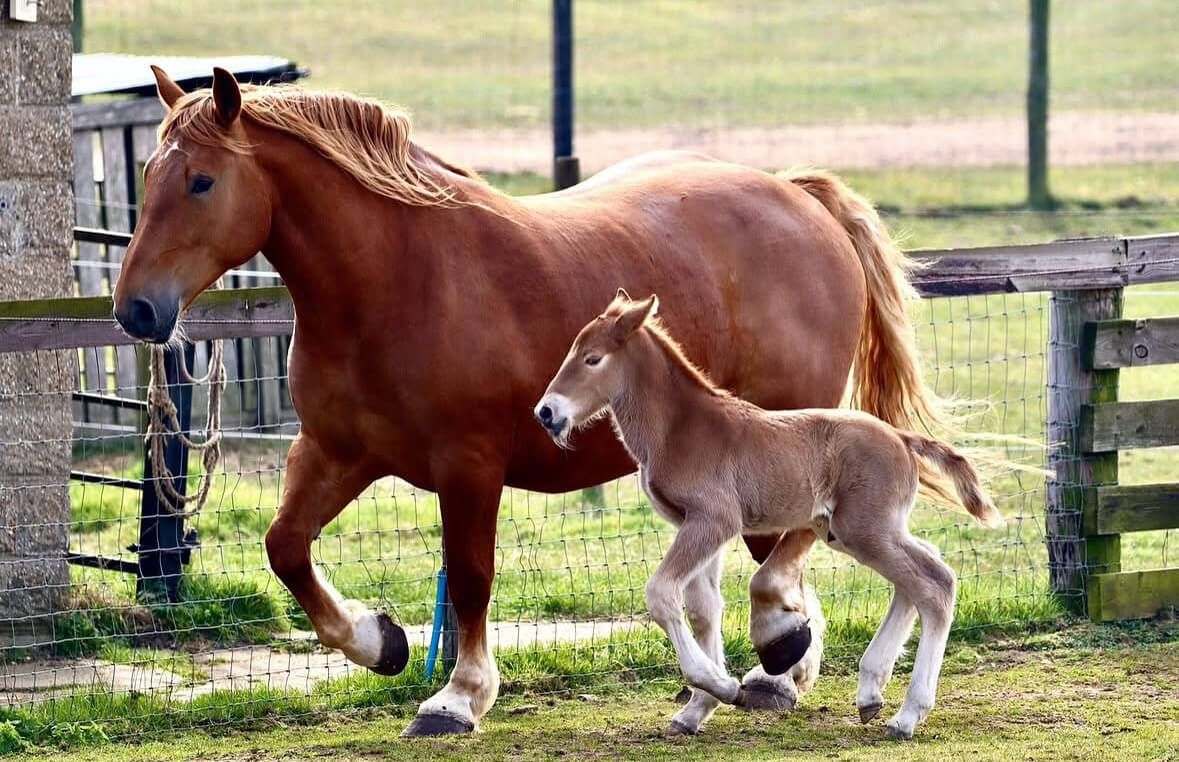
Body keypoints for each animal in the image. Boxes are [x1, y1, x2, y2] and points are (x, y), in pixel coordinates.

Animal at [113, 66, 945, 737]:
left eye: (200, 182)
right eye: (149, 177)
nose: (137, 311)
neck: (396, 281)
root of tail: (797, 195)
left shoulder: (468, 467)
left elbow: (470, 578)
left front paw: (457, 699)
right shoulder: (335, 453)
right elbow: (285, 547)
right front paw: (380, 640)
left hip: (792, 430)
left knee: (793, 549)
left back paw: (778, 645)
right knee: (789, 557)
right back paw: (782, 669)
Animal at [535, 290, 998, 738]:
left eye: (593, 358)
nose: (546, 412)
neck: (680, 428)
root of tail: (902, 438)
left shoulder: (714, 520)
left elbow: (662, 595)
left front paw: (723, 686)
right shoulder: (698, 526)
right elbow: (704, 611)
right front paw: (696, 711)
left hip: (865, 530)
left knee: (934, 586)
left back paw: (906, 717)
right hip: (855, 531)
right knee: (926, 571)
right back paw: (871, 693)